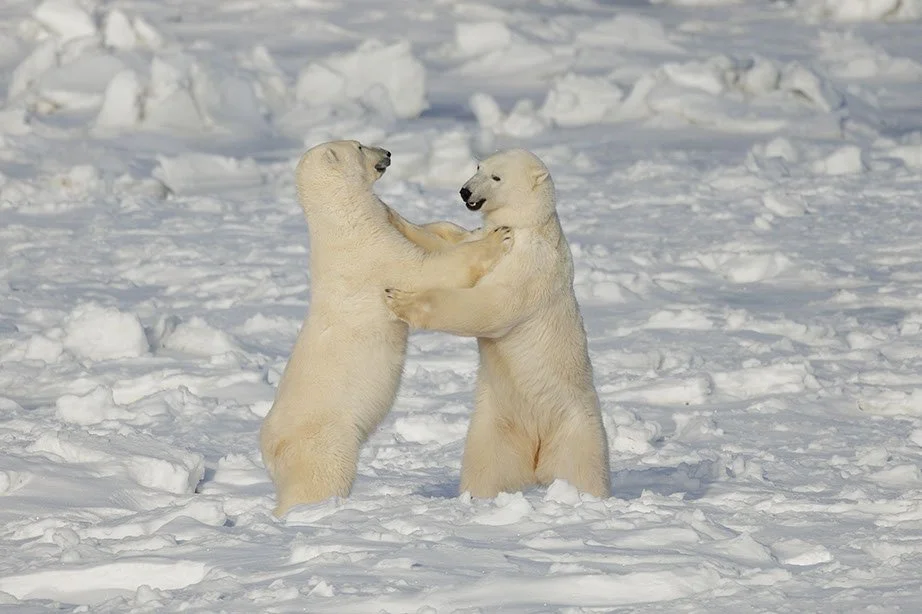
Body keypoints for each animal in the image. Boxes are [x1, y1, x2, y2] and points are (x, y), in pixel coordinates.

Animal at [260, 140, 513, 516]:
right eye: (360, 145)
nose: (389, 153)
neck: (345, 223)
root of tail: (268, 450)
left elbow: (426, 234)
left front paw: (468, 230)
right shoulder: (373, 258)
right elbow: (426, 271)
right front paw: (497, 237)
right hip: (323, 440)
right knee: (317, 481)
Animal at [385, 148, 611, 499]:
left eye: (496, 177)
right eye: (478, 166)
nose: (464, 191)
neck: (525, 224)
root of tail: (536, 451)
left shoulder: (529, 263)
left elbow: (490, 305)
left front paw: (401, 300)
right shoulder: (484, 237)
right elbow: (452, 244)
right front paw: (394, 215)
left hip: (575, 427)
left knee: (581, 469)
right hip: (494, 423)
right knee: (486, 467)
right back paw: (474, 497)